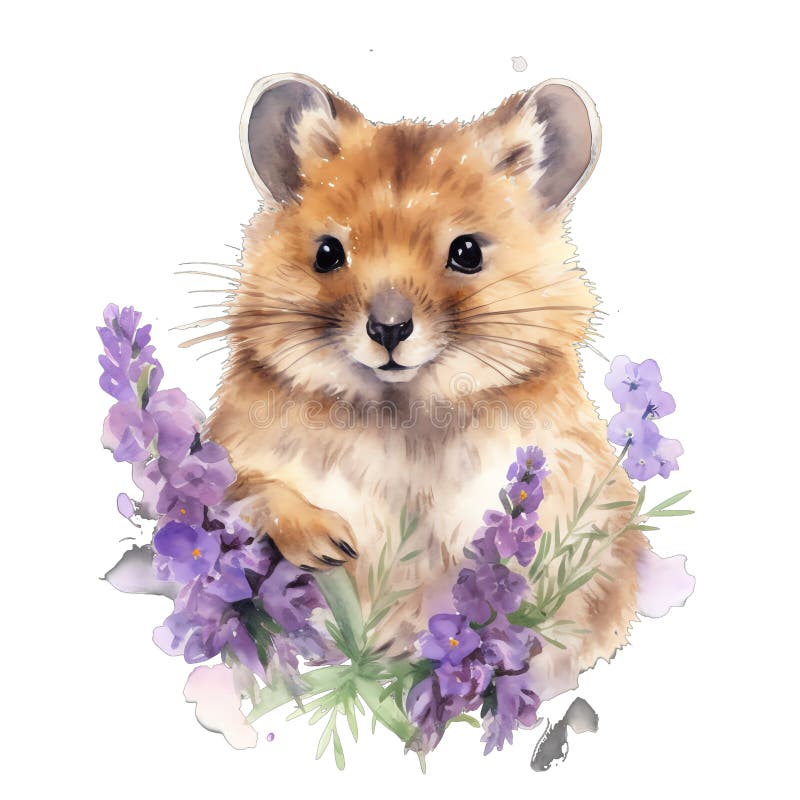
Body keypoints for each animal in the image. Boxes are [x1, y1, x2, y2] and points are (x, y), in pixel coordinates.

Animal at [203, 74, 647, 683]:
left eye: (467, 251)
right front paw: (330, 544)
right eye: (327, 252)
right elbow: (251, 491)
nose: (388, 330)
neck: (402, 412)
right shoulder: (232, 456)